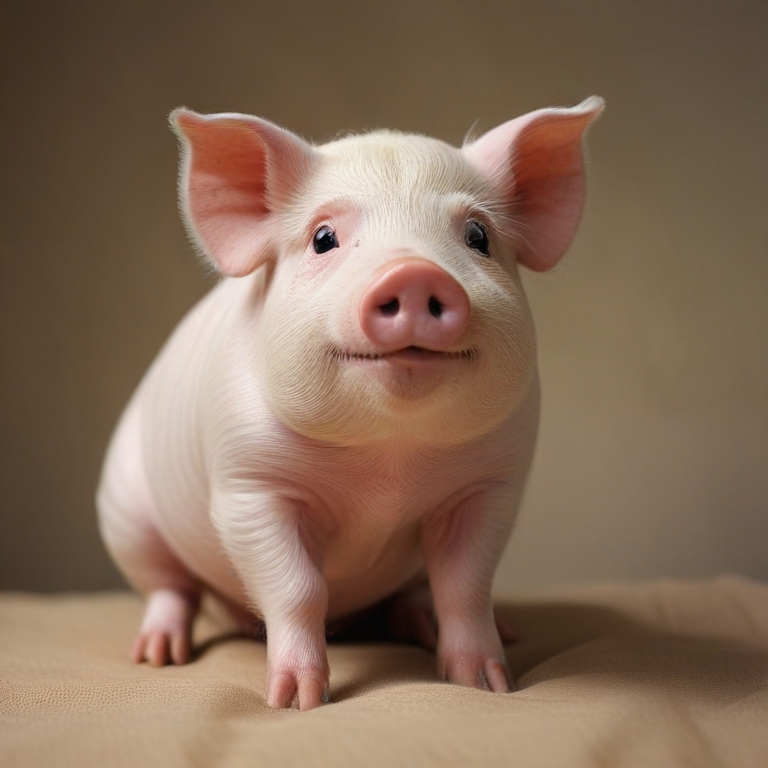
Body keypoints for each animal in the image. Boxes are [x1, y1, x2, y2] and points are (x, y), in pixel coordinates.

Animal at [96, 96, 603, 710]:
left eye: (478, 236)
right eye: (323, 238)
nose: (414, 272)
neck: (388, 463)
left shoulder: (490, 484)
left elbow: (465, 584)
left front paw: (489, 685)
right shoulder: (250, 484)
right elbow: (298, 588)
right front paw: (296, 702)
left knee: (417, 594)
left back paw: (459, 627)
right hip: (125, 512)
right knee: (169, 588)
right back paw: (157, 654)